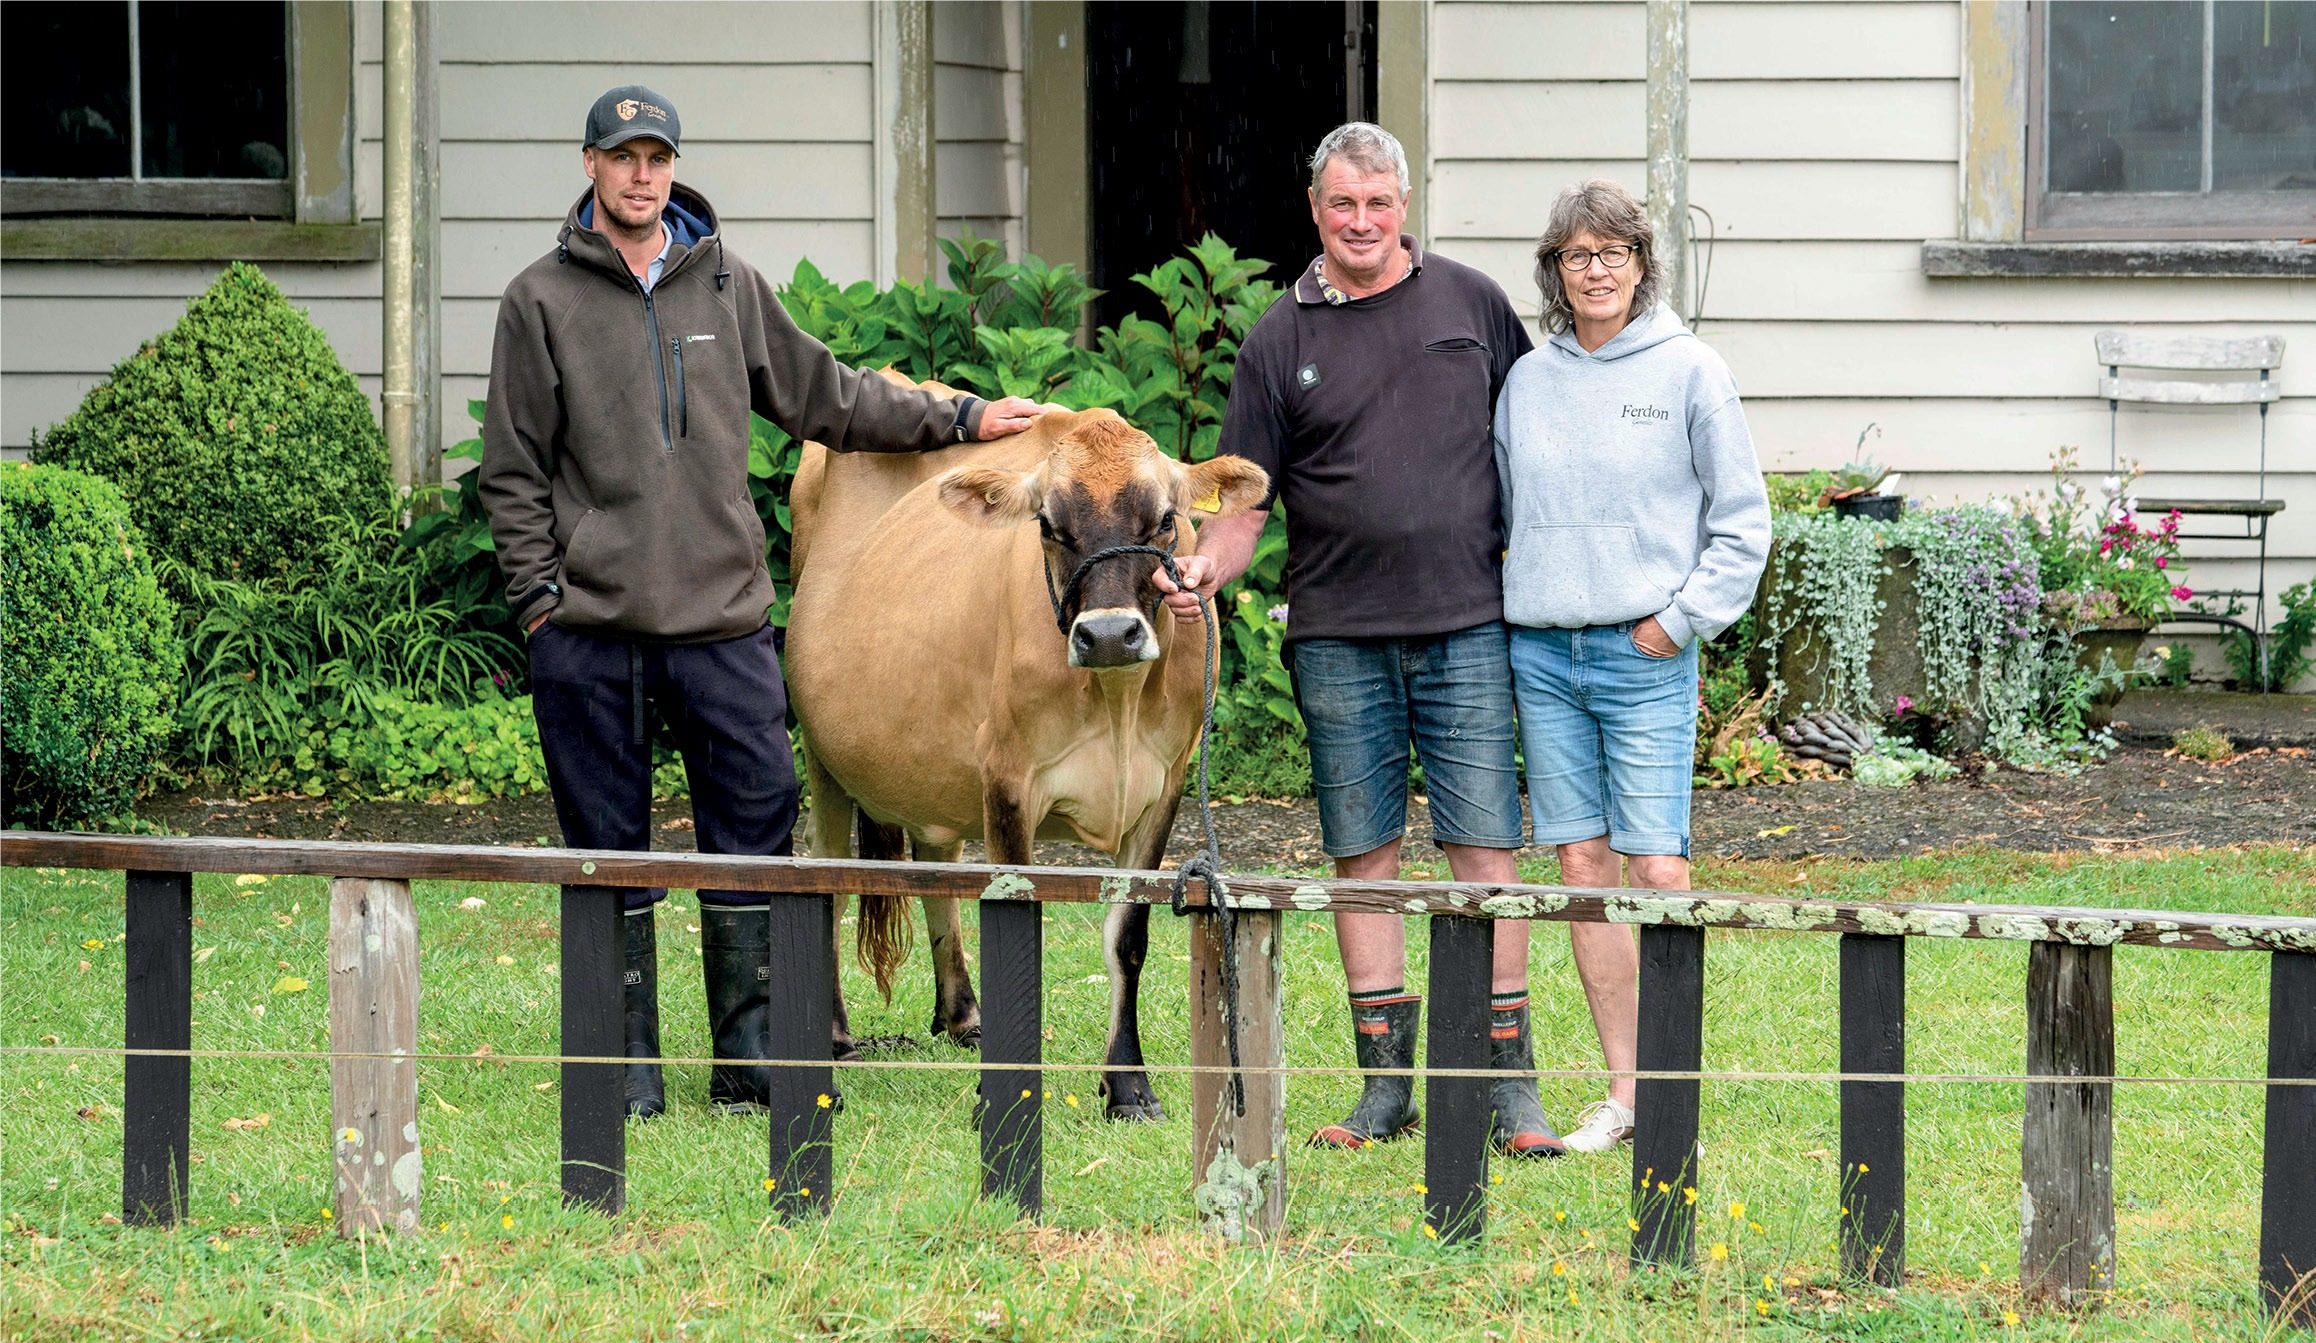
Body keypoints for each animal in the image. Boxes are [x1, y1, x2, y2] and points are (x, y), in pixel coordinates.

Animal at [784, 377, 1268, 1120]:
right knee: (827, 880)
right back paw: (835, 1036)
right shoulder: (1009, 781)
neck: (1118, 702)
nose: (1108, 634)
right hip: (823, 756)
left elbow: (1127, 939)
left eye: (1164, 521)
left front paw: (1128, 1087)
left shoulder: (1165, 787)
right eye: (1047, 524)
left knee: (938, 866)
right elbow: (1018, 928)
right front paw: (1008, 1089)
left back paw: (962, 1015)